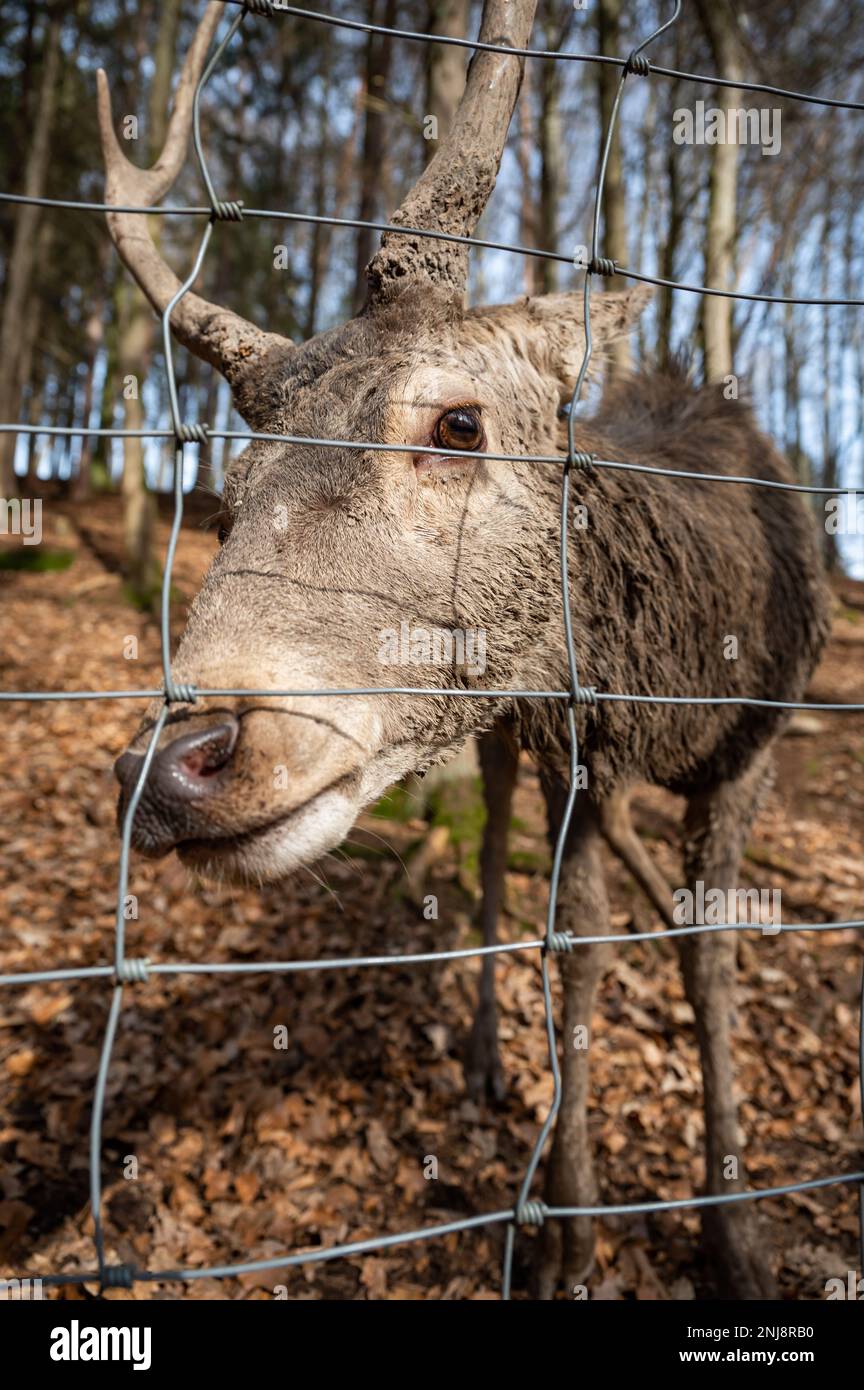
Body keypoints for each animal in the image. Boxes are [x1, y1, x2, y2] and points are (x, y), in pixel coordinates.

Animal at [106, 0, 828, 1298]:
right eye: (229, 487)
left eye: (455, 422)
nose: (175, 762)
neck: (691, 667)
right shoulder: (577, 746)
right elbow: (577, 942)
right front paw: (577, 1236)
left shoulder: (750, 745)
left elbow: (709, 950)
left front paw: (737, 1229)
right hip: (509, 734)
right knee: (492, 852)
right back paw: (493, 1052)